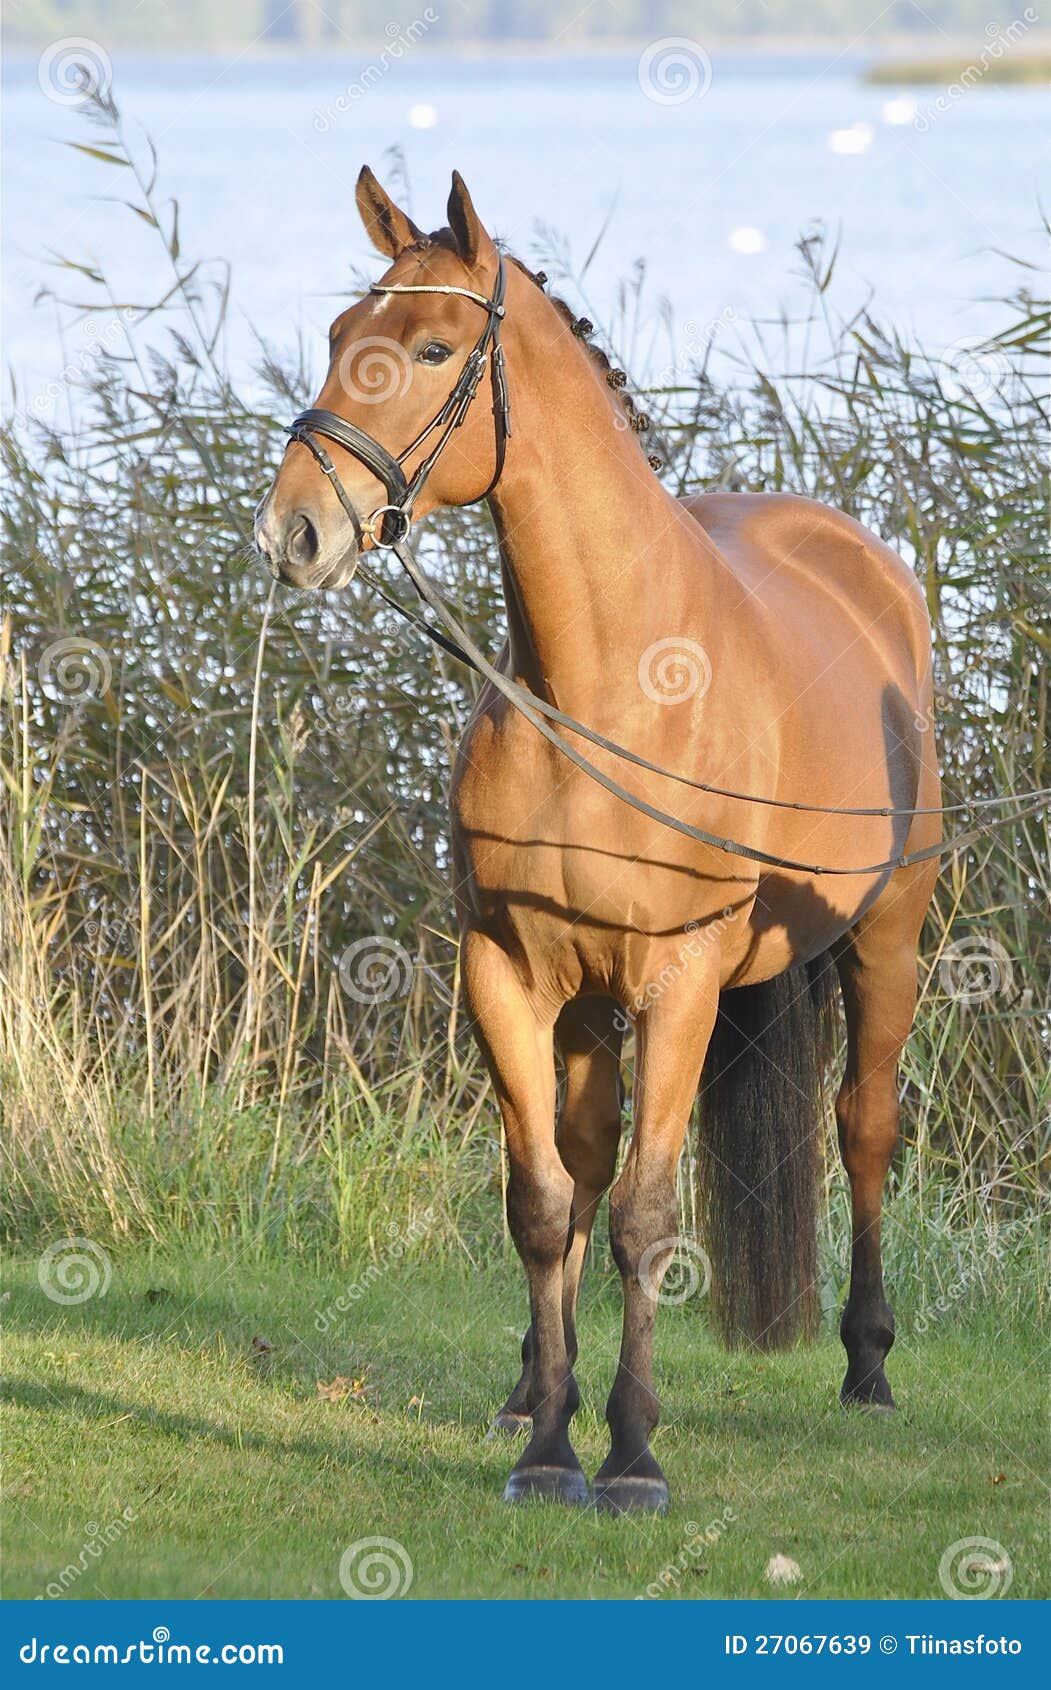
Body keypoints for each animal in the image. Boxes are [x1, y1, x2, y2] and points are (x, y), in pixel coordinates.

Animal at [255, 168, 941, 1514]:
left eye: (431, 348)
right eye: (339, 334)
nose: (293, 531)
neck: (605, 684)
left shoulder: (680, 976)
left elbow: (643, 1217)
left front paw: (629, 1452)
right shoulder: (510, 970)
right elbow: (543, 1200)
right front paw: (548, 1442)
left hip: (881, 942)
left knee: (863, 1126)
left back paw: (870, 1366)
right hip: (590, 1005)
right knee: (577, 1163)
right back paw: (531, 1386)